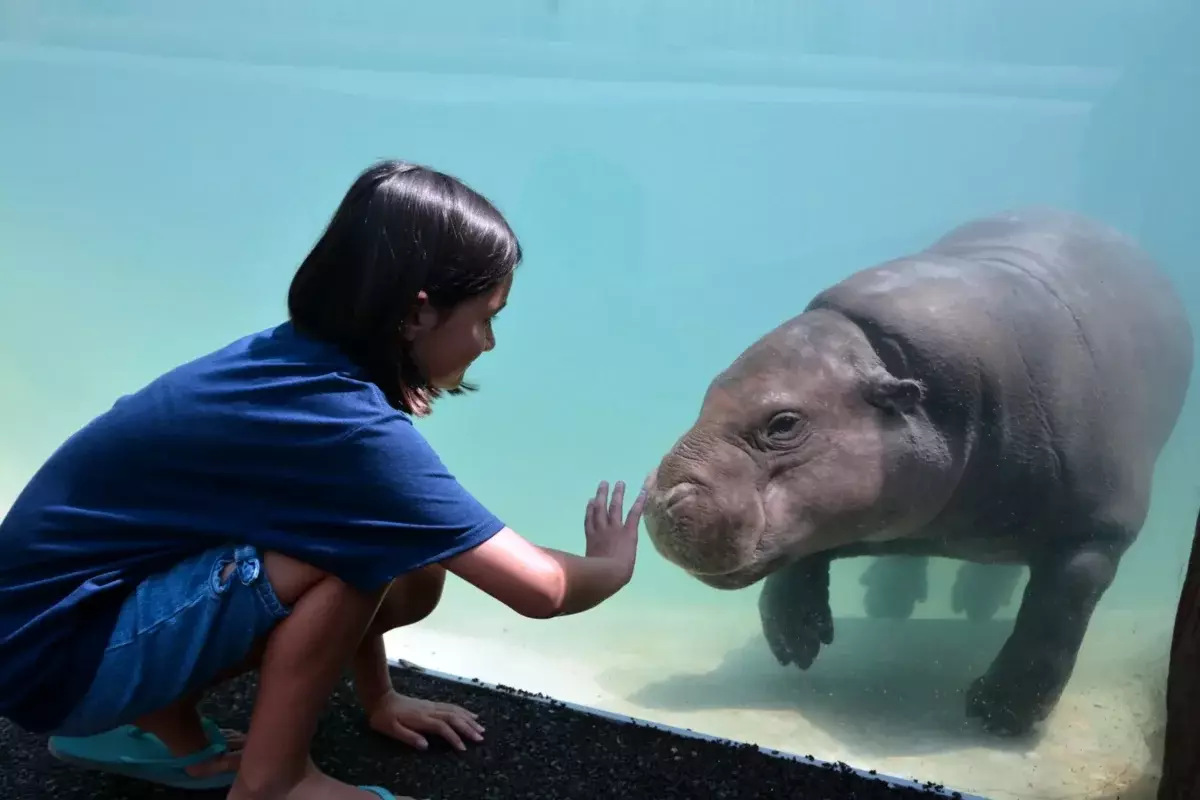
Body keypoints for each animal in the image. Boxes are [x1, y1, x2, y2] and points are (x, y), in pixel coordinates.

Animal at [648, 208, 1190, 738]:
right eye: (710, 391)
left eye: (784, 423)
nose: (657, 500)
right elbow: (803, 552)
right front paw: (794, 642)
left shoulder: (1096, 534)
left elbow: (1053, 618)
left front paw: (998, 714)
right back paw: (890, 602)